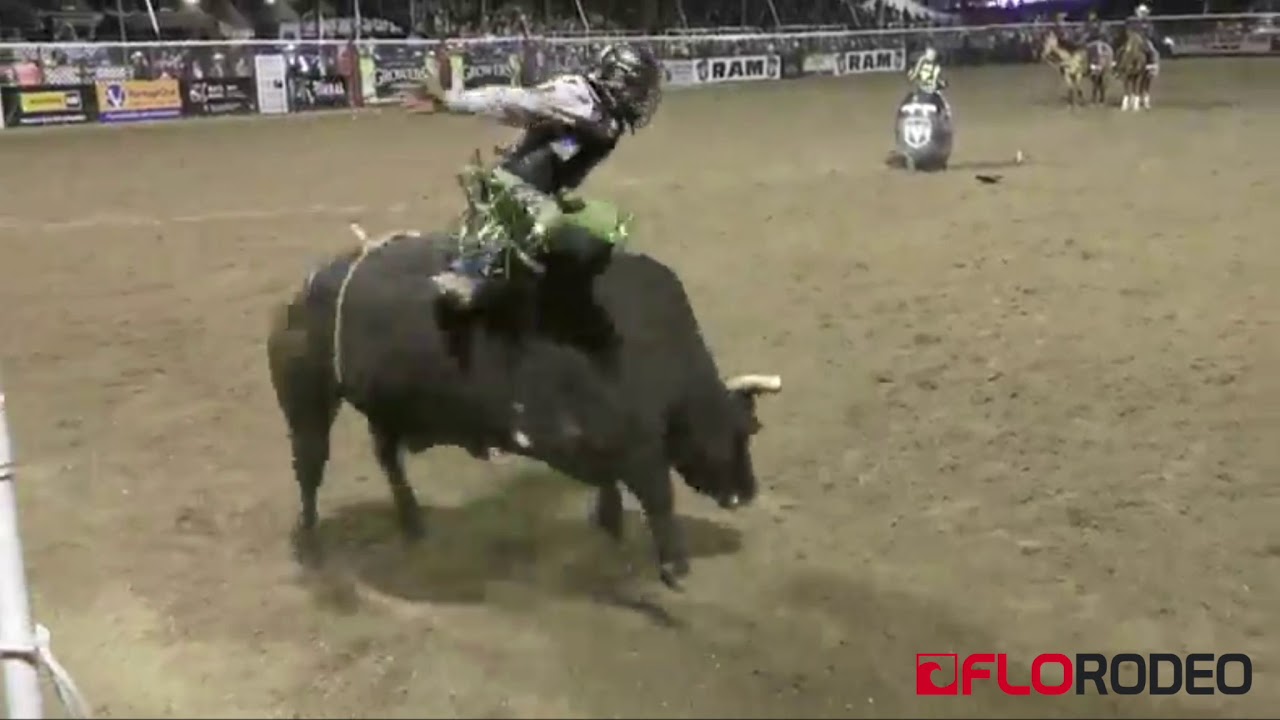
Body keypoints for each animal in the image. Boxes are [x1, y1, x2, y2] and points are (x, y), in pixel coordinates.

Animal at [267, 228, 782, 588]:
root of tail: (304, 288)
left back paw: (412, 523)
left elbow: (611, 484)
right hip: (306, 404)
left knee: (387, 457)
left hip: (384, 408)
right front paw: (674, 566)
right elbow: (657, 493)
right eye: (741, 433)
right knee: (309, 470)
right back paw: (312, 546)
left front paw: (610, 525)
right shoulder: (626, 444)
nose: (749, 491)